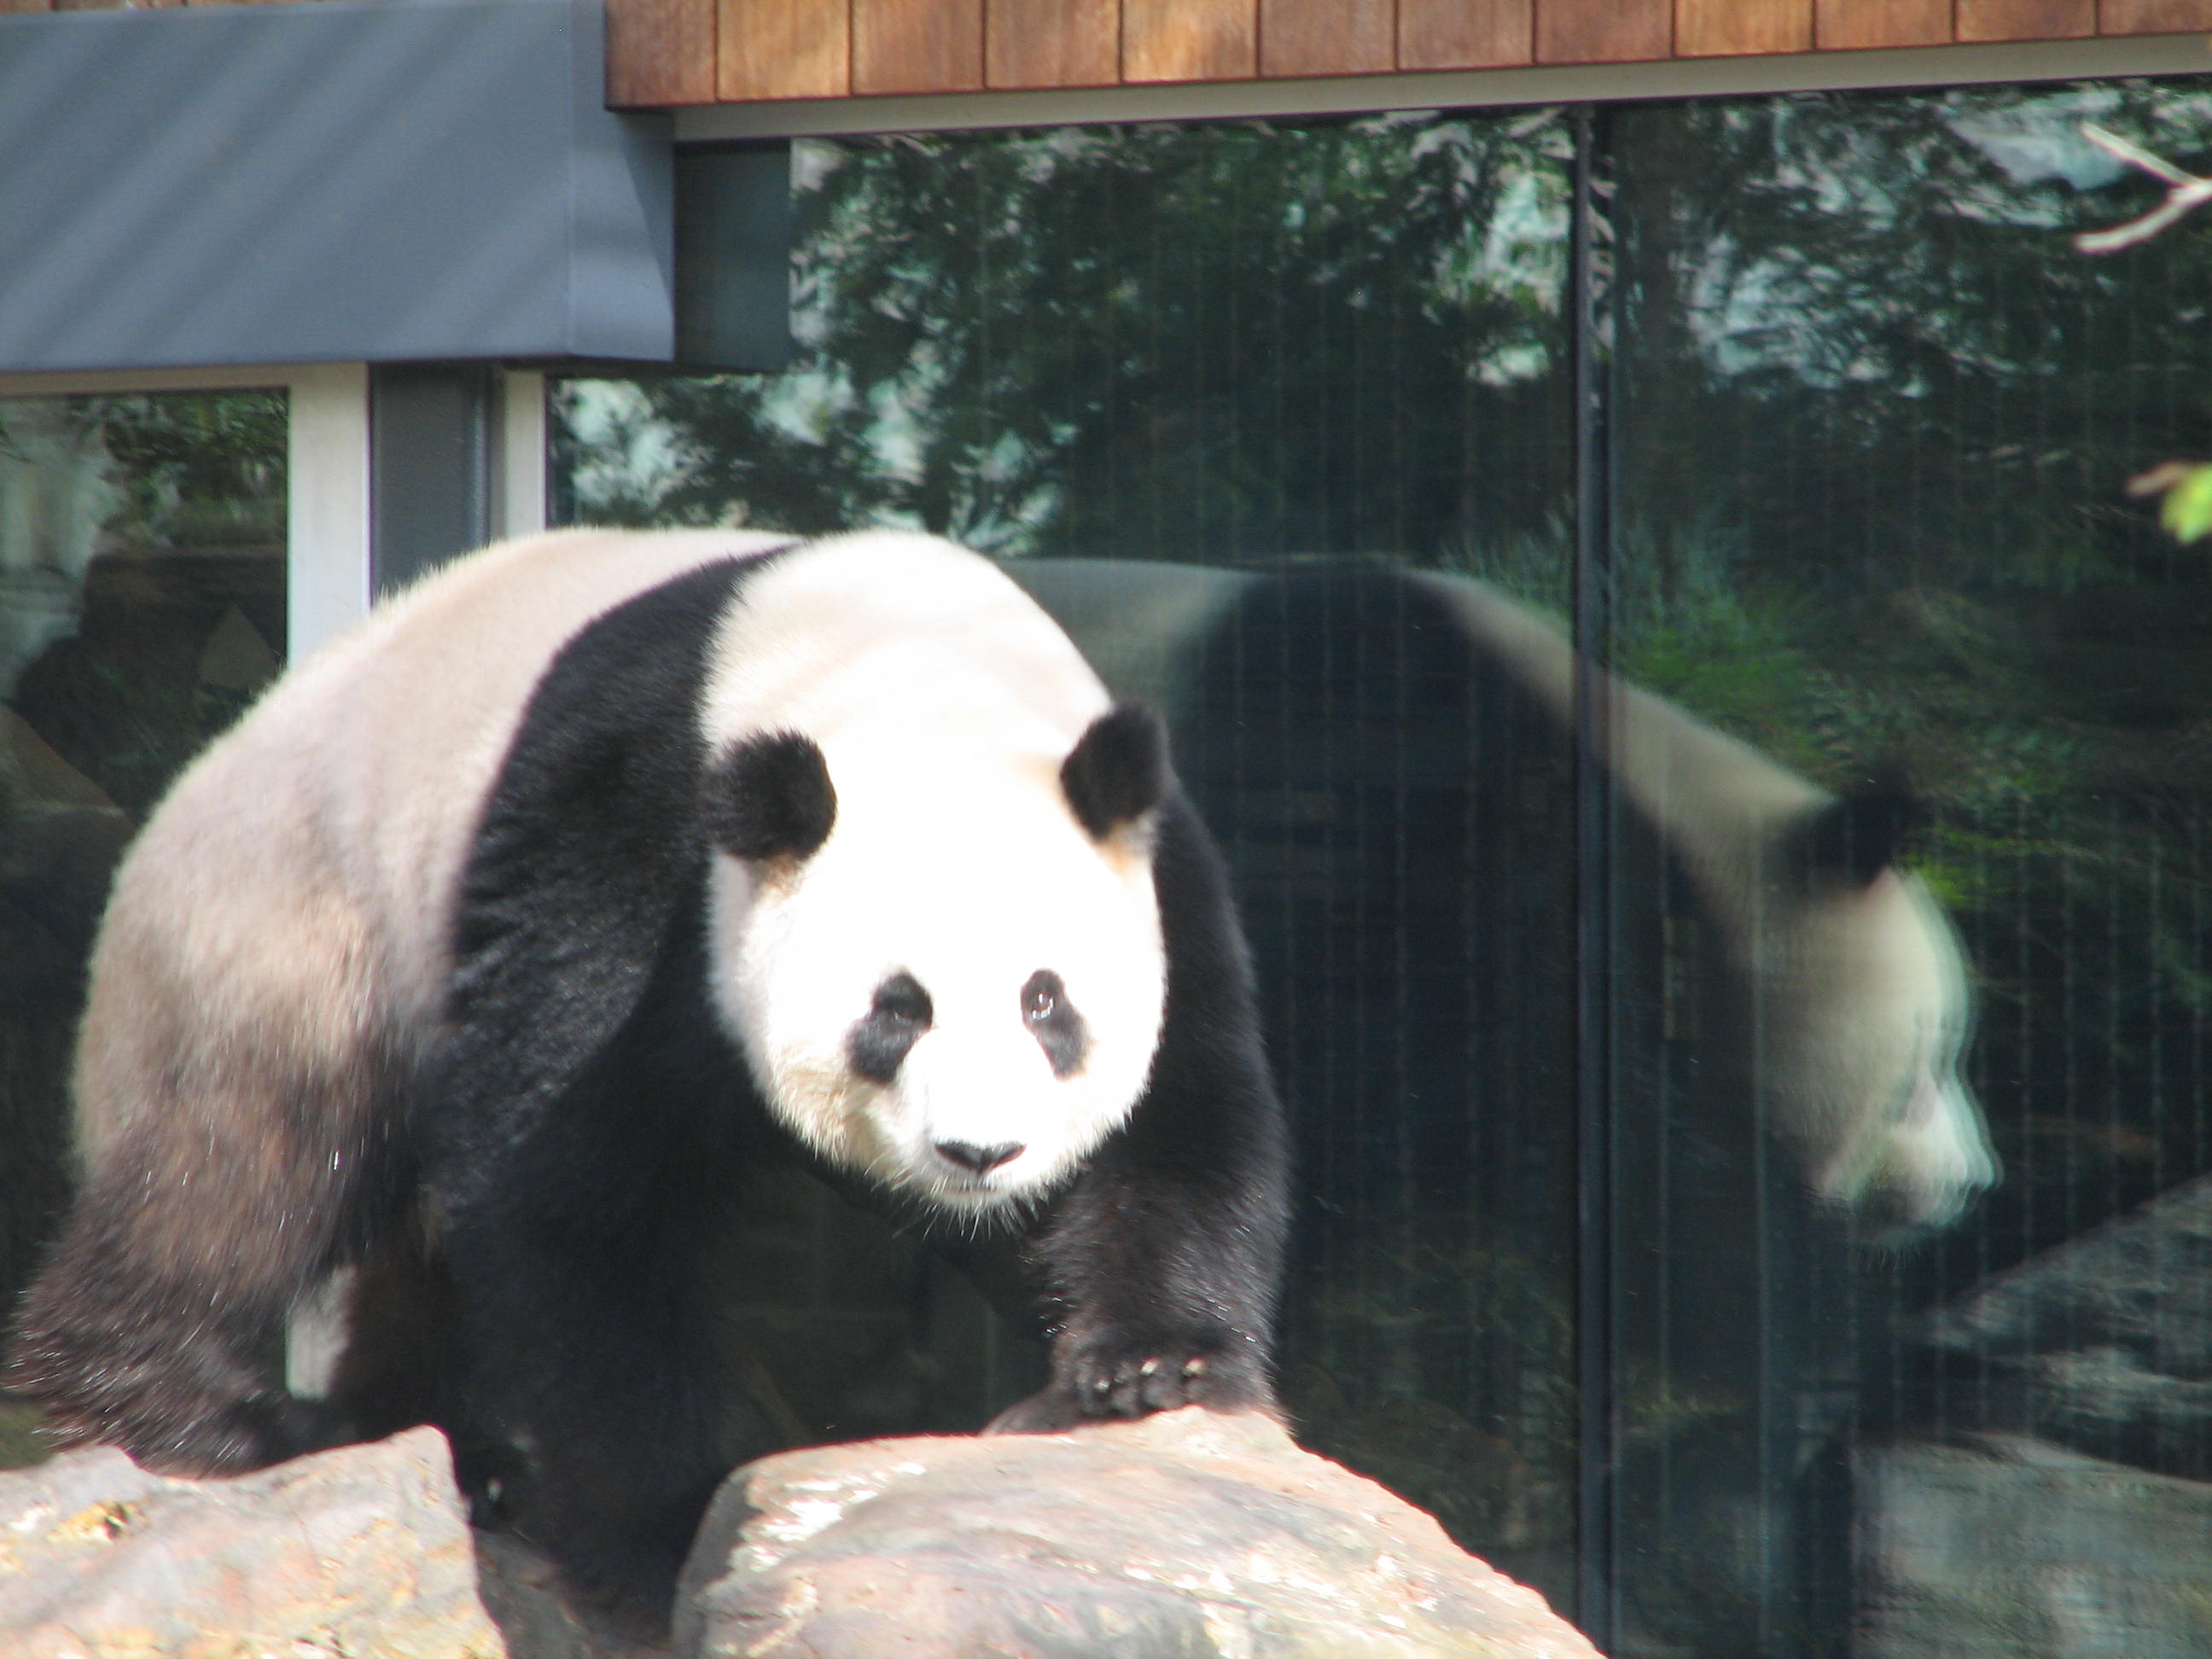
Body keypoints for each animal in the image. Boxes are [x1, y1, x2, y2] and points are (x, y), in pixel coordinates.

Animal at [4, 528, 1289, 1631]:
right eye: (897, 1009)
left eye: (1046, 1003)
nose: (980, 1156)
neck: (909, 674)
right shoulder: (634, 831)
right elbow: (572, 1199)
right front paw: (668, 1538)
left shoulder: (1158, 864)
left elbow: (1186, 1117)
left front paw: (1150, 1364)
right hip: (292, 927)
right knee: (246, 1165)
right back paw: (210, 1411)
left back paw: (440, 1438)